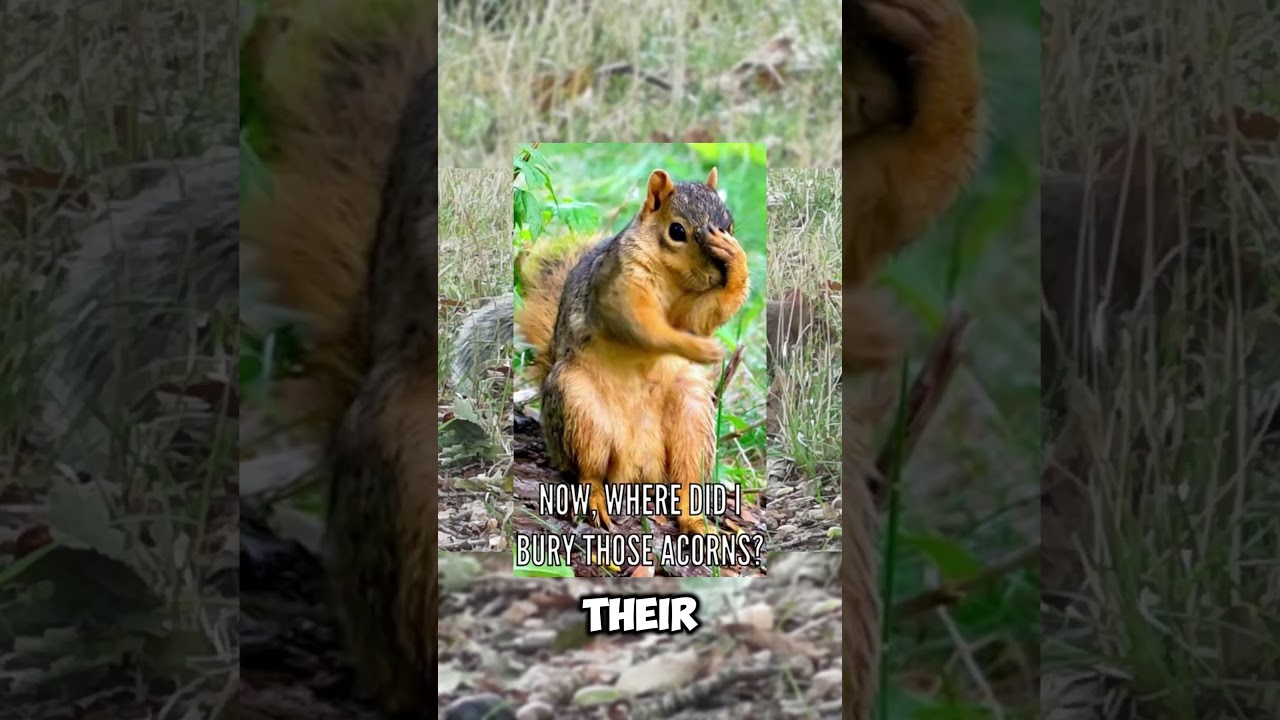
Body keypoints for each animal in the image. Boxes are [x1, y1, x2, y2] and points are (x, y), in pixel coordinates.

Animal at [514, 168, 749, 535]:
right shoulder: (615, 286)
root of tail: (639, 468)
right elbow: (641, 325)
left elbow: (698, 318)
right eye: (677, 231)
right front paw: (698, 348)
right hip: (579, 409)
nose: (716, 275)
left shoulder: (688, 309)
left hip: (693, 413)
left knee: (686, 479)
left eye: (730, 225)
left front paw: (736, 261)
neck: (672, 277)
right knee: (589, 472)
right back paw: (596, 500)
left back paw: (696, 521)